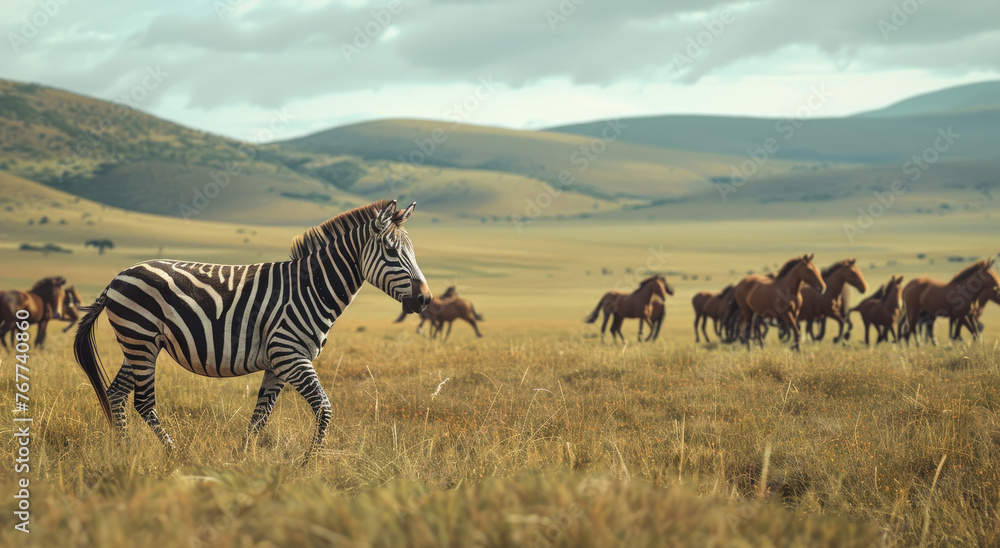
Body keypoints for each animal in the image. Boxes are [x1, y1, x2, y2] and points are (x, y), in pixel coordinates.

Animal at [74, 200, 431, 458]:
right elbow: (324, 408)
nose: (425, 299)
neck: (311, 288)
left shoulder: (277, 364)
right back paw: (174, 454)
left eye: (413, 251)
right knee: (143, 403)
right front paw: (309, 463)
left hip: (137, 344)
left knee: (116, 394)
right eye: (391, 251)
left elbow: (260, 418)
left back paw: (124, 451)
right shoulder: (290, 355)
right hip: (141, 339)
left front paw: (244, 460)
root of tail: (116, 278)